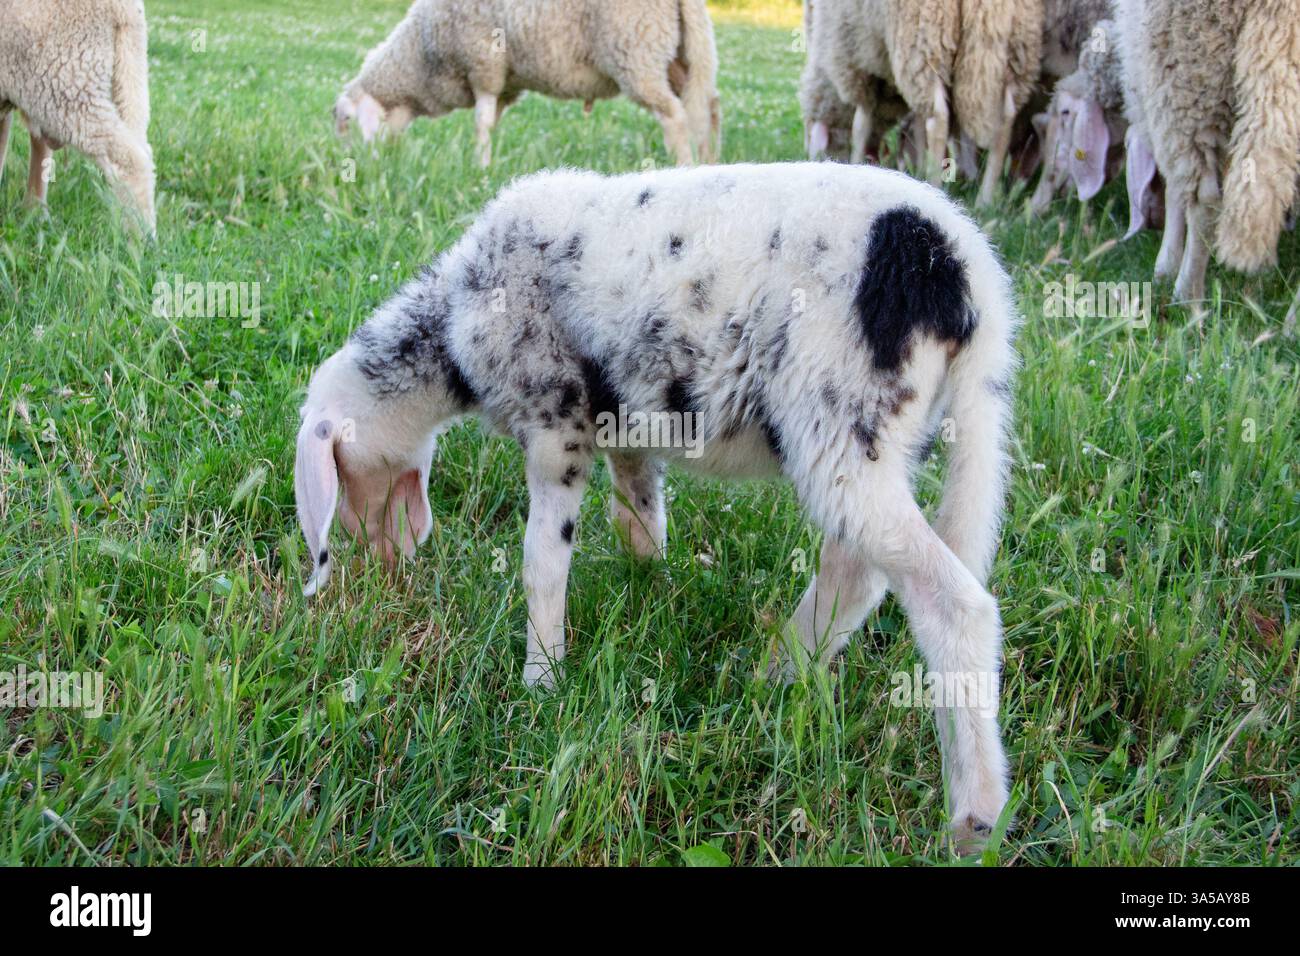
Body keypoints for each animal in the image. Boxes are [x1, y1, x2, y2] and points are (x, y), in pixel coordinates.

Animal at [0, 0, 155, 234]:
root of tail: (123, 8)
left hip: (65, 83)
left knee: (129, 159)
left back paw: (139, 237)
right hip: (127, 78)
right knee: (141, 147)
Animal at [293, 161, 1020, 849]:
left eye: (341, 477)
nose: (385, 565)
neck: (450, 321)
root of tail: (964, 265)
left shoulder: (555, 422)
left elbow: (541, 564)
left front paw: (542, 680)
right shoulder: (624, 426)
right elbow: (639, 518)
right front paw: (651, 590)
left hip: (839, 412)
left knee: (951, 603)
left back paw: (973, 815)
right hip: (888, 432)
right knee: (858, 571)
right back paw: (775, 673)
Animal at [334, 0, 722, 168]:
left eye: (347, 122)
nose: (354, 166)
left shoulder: (484, 64)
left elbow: (481, 122)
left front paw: (480, 166)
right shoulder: (504, 83)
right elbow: (492, 122)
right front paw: (486, 163)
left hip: (637, 51)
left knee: (674, 115)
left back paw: (685, 166)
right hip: (679, 54)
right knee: (708, 107)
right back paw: (711, 161)